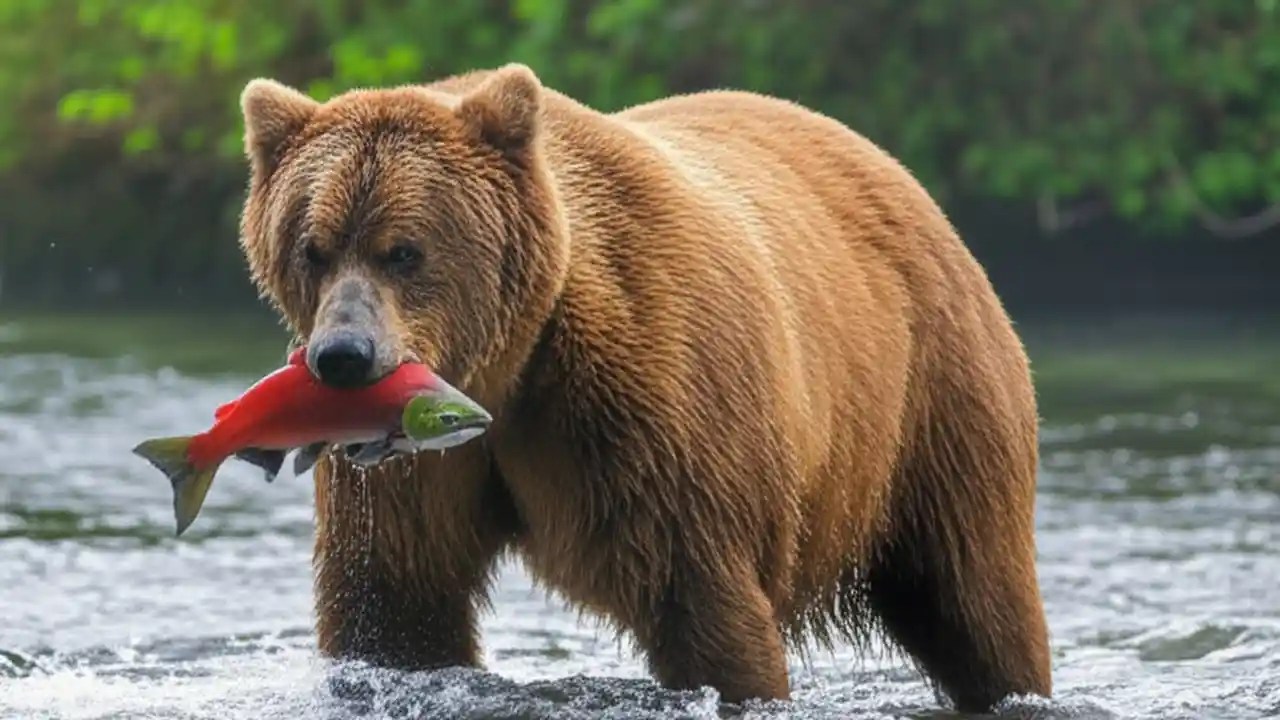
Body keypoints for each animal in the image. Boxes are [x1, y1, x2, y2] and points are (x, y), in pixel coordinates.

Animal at [236, 63, 1052, 713]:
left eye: (404, 250)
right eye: (312, 247)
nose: (344, 357)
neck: (507, 374)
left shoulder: (645, 415)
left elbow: (698, 599)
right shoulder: (410, 477)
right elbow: (398, 607)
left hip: (931, 396)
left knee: (976, 594)